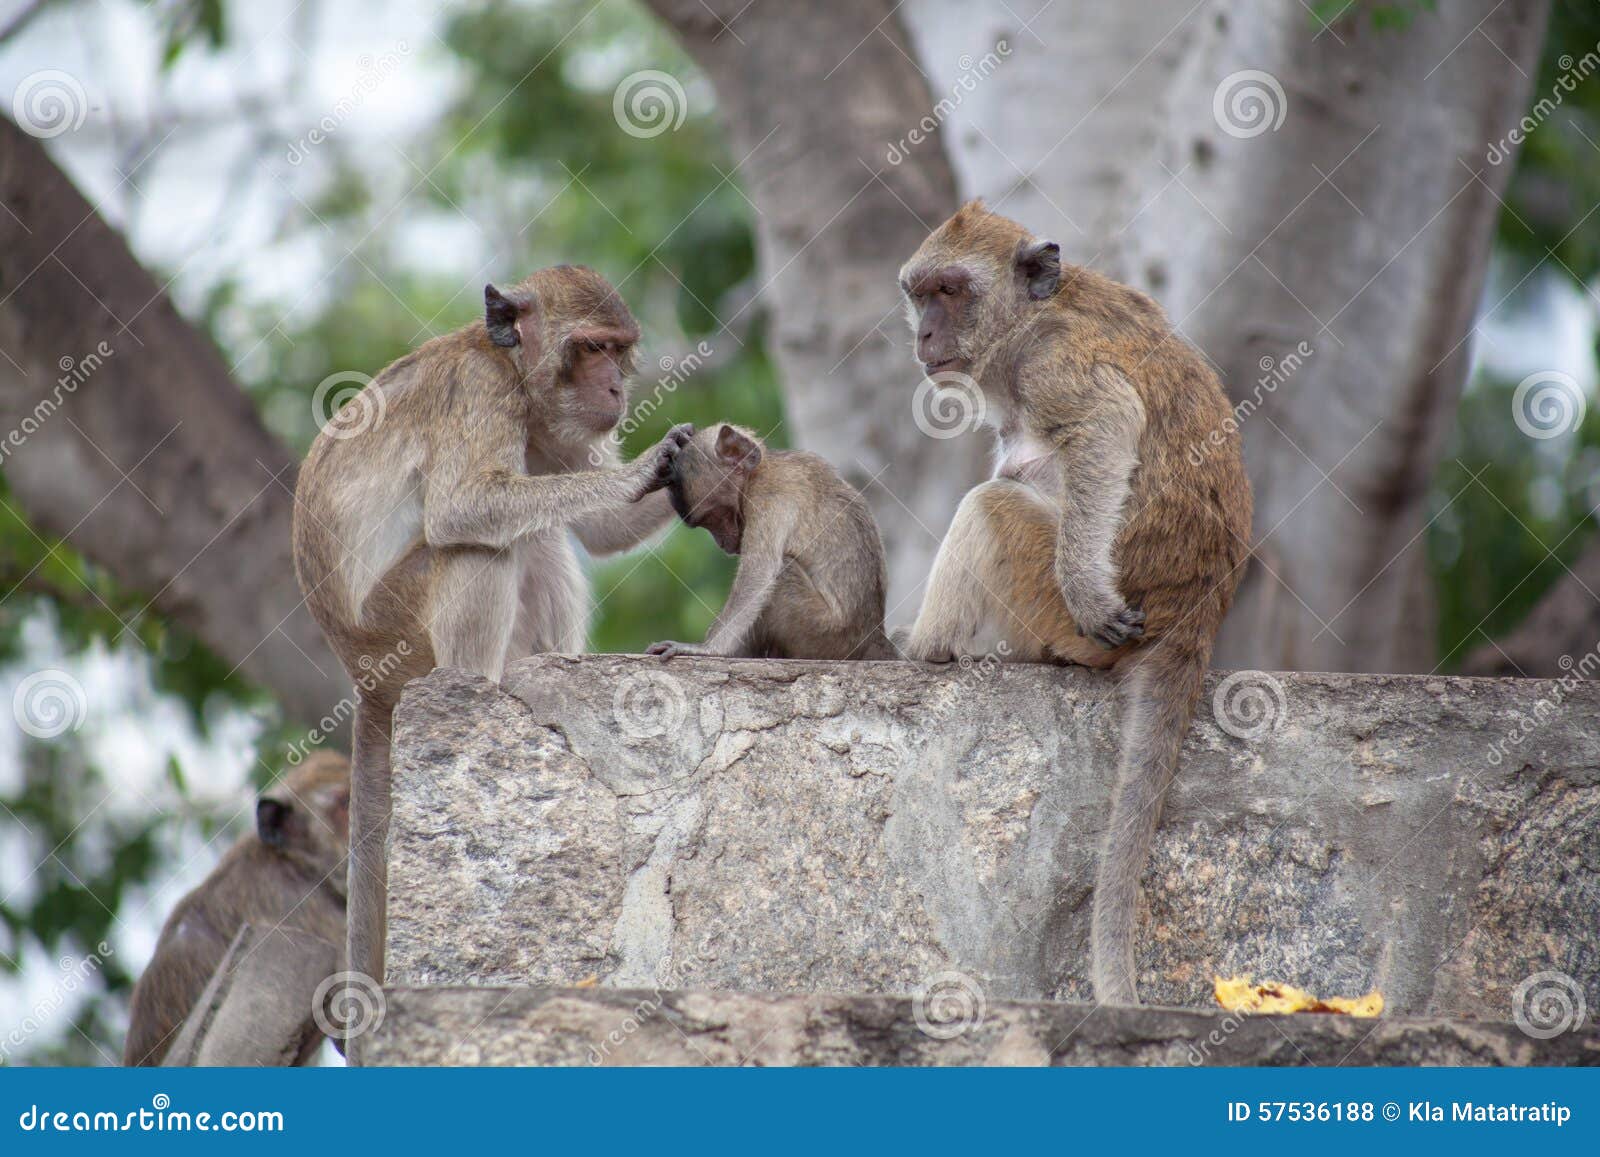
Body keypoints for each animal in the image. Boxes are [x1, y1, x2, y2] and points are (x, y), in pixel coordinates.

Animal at [292, 265, 691, 987]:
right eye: (592, 348)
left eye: (619, 350)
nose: (616, 388)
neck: (512, 367)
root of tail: (362, 677)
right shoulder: (481, 396)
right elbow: (464, 506)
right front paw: (645, 468)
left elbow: (602, 527)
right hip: (394, 632)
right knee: (483, 545)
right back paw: (475, 688)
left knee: (539, 536)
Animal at [645, 423, 898, 662]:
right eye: (706, 523)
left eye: (714, 516)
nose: (722, 544)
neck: (759, 471)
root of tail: (874, 637)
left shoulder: (768, 498)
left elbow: (758, 572)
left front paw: (705, 649)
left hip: (825, 633)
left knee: (783, 572)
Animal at [896, 201, 1253, 1005]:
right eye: (919, 293)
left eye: (950, 290)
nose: (924, 335)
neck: (1029, 317)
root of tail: (1195, 617)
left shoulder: (1050, 363)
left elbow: (1105, 425)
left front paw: (1088, 585)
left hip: (1053, 610)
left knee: (993, 507)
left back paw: (923, 650)